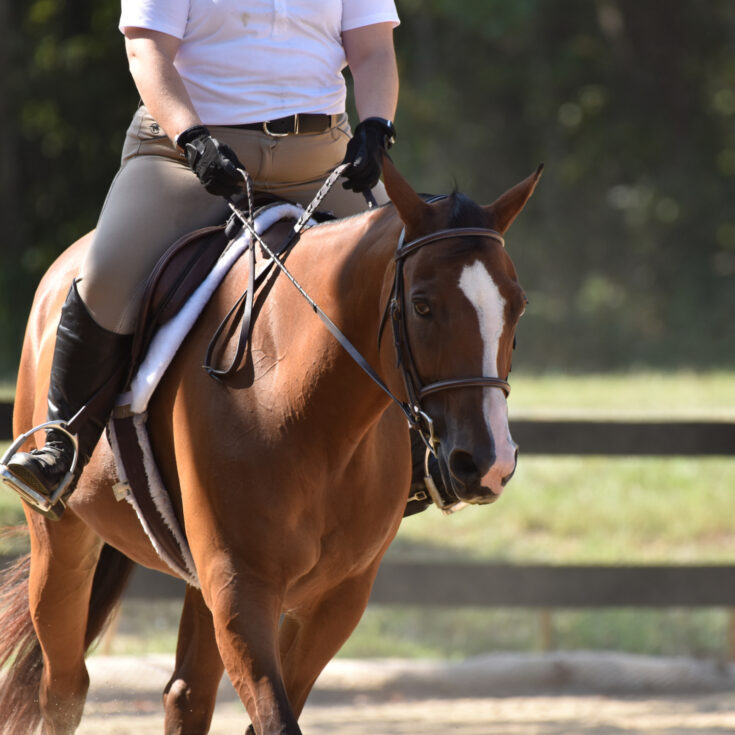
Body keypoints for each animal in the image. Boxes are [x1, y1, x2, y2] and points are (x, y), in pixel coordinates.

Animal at [0, 158, 541, 735]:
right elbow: (277, 718)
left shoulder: (338, 597)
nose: (488, 464)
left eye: (518, 307)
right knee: (64, 689)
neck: (310, 413)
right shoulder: (242, 587)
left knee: (186, 694)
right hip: (63, 543)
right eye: (421, 305)